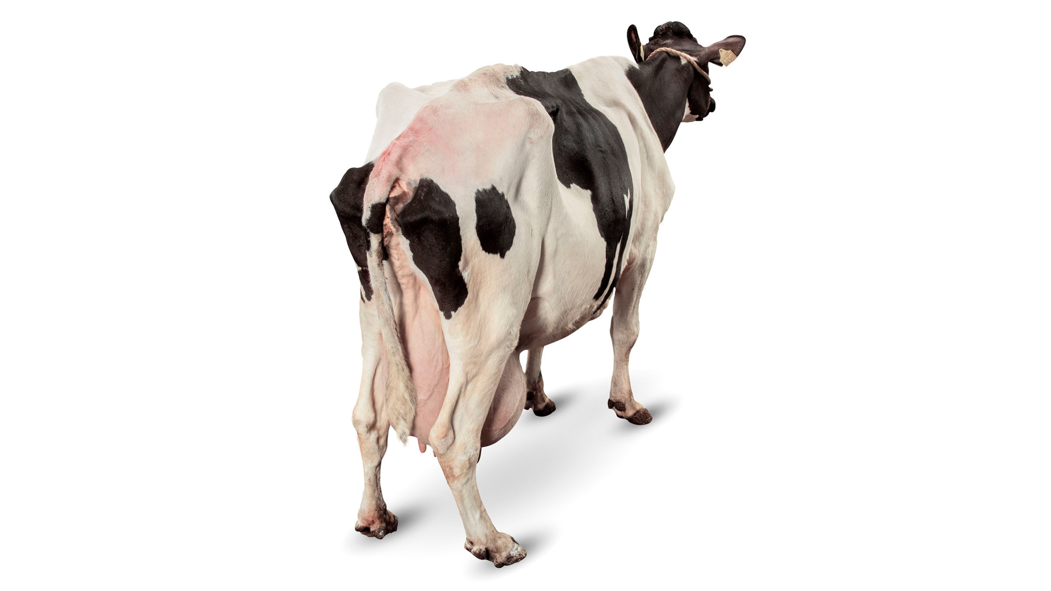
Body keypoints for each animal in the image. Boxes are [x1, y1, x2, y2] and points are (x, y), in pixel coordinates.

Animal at [330, 21, 745, 567]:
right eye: (705, 68)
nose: (712, 102)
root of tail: (396, 160)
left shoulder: (552, 280)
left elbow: (544, 332)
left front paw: (536, 395)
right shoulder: (644, 246)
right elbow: (626, 332)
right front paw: (626, 404)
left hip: (374, 316)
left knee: (367, 417)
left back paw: (373, 516)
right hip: (488, 324)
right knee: (453, 439)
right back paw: (491, 541)